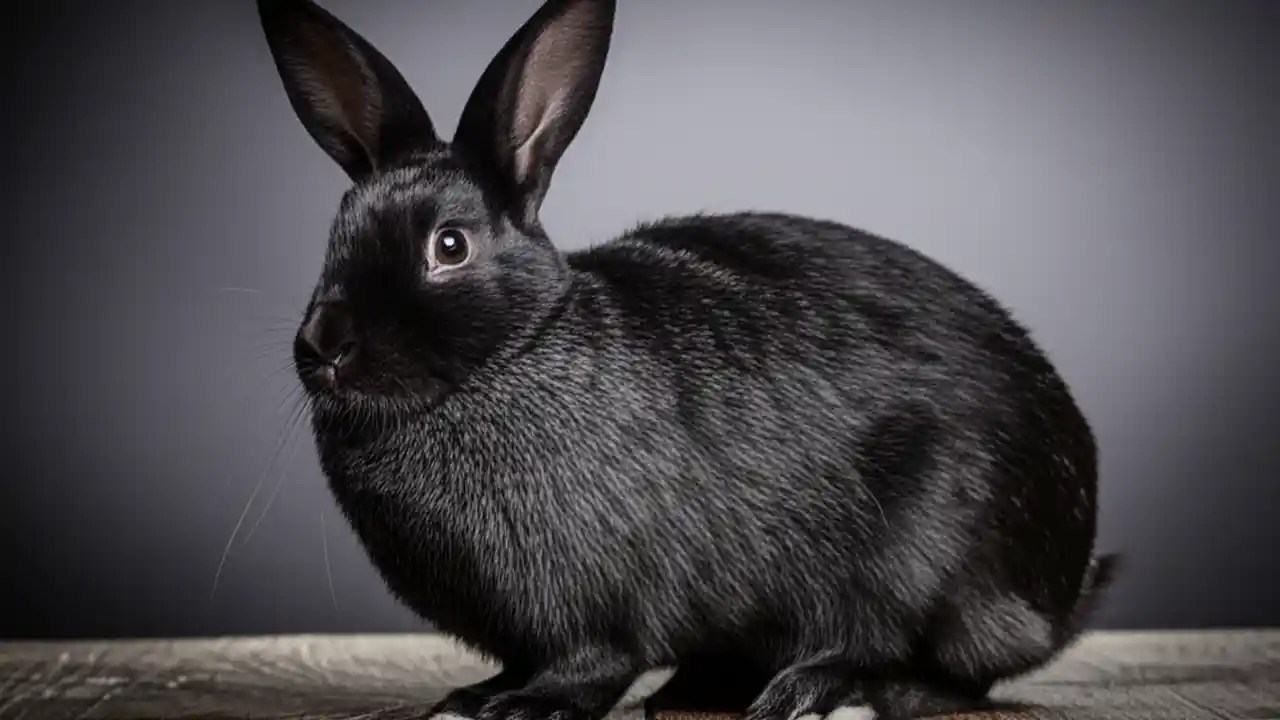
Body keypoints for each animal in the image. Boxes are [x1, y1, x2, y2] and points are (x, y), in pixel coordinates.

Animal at [256, 0, 1119, 718]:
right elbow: (519, 661)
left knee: (926, 663)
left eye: (449, 246)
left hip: (929, 561)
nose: (323, 348)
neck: (512, 352)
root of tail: (1061, 589)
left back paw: (818, 690)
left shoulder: (598, 602)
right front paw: (472, 697)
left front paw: (527, 706)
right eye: (336, 233)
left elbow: (591, 663)